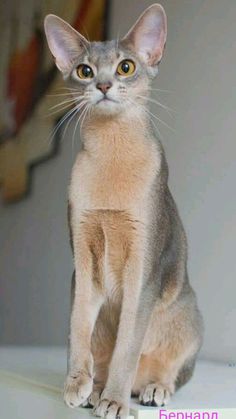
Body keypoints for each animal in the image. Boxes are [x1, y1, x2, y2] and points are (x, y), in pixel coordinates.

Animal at [44, 4, 203, 419]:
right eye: (84, 70)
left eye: (126, 67)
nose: (102, 85)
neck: (110, 153)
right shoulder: (83, 260)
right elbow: (79, 326)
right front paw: (78, 383)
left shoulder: (142, 267)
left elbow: (127, 346)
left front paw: (114, 401)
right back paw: (95, 386)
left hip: (187, 315)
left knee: (168, 370)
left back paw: (149, 389)